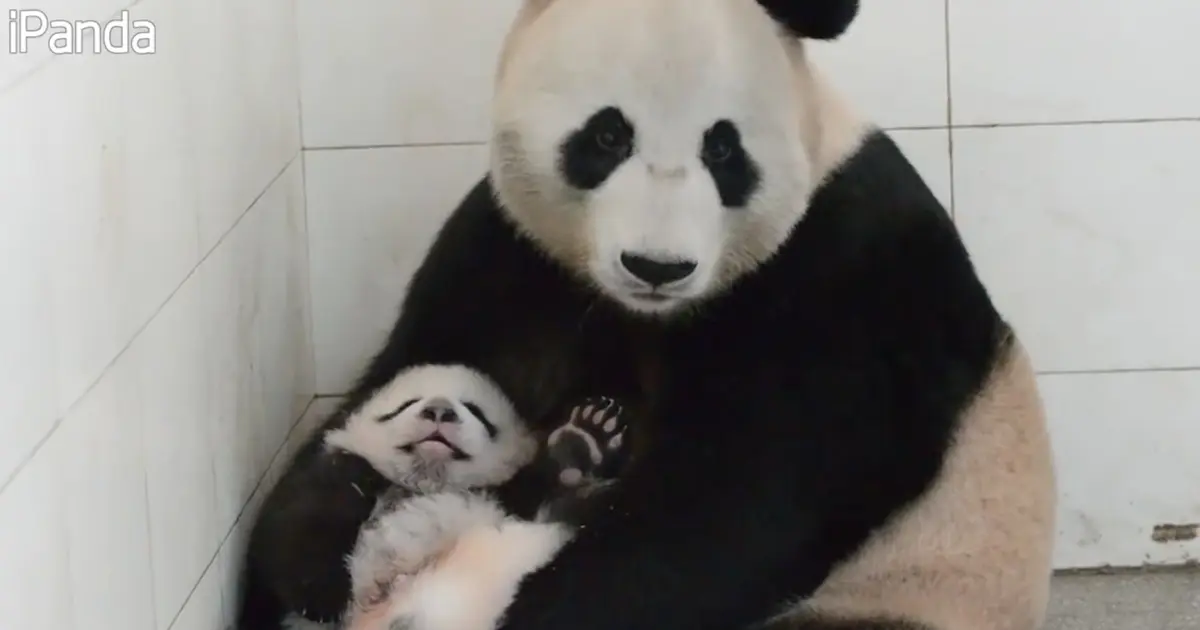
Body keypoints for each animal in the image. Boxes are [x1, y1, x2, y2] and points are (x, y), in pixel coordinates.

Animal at [240, 1, 1058, 630]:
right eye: (608, 136)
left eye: (723, 149)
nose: (656, 266)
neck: (650, 312)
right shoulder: (513, 255)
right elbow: (414, 370)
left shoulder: (848, 277)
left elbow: (742, 506)